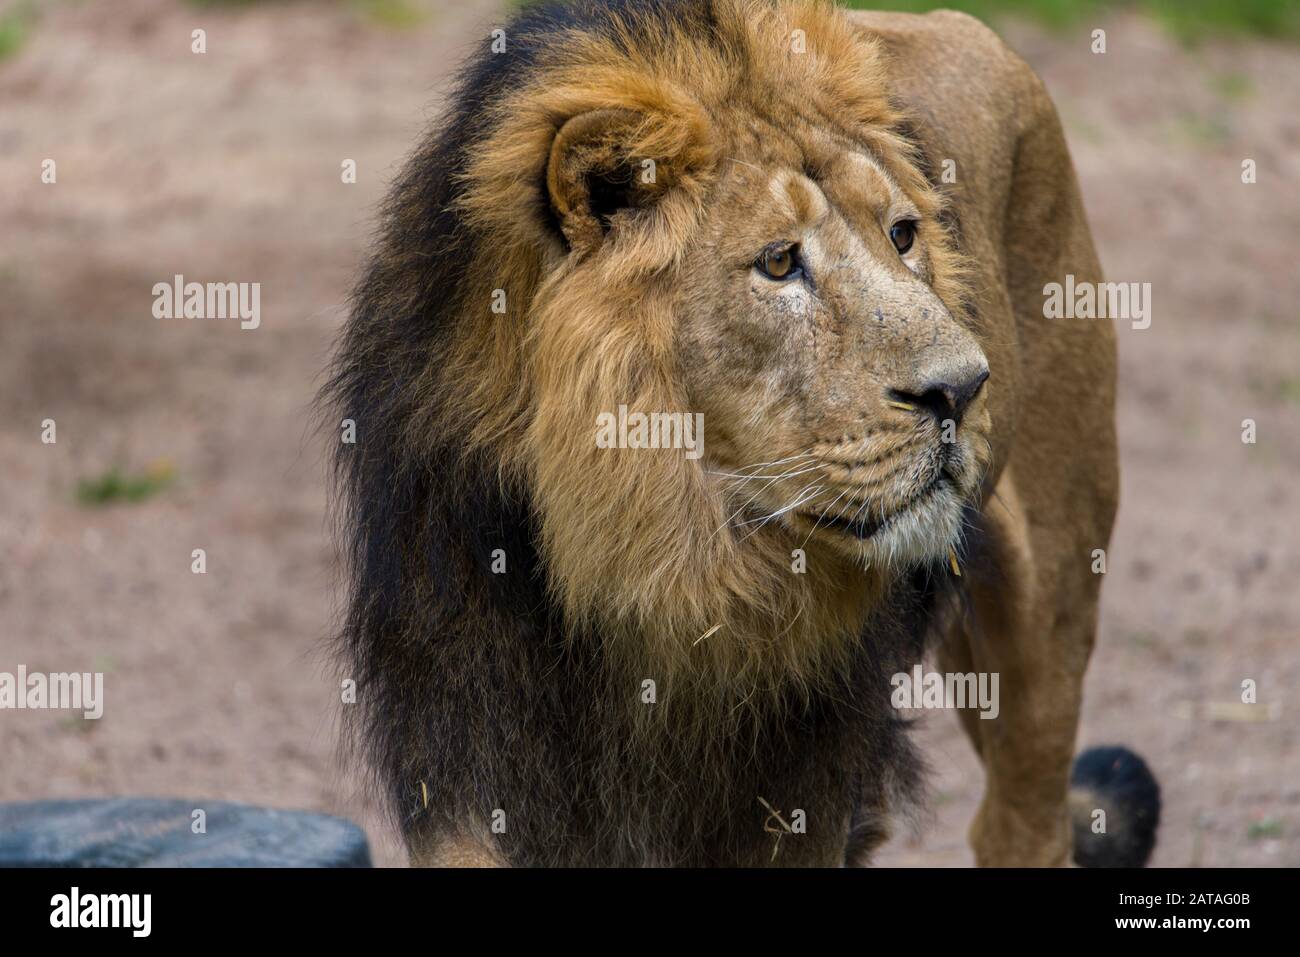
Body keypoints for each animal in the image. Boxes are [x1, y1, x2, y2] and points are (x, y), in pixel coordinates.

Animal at [324, 0, 1160, 867]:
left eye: (902, 235)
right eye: (780, 262)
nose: (963, 388)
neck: (664, 562)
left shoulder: (802, 788)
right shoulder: (466, 743)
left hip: (1054, 590)